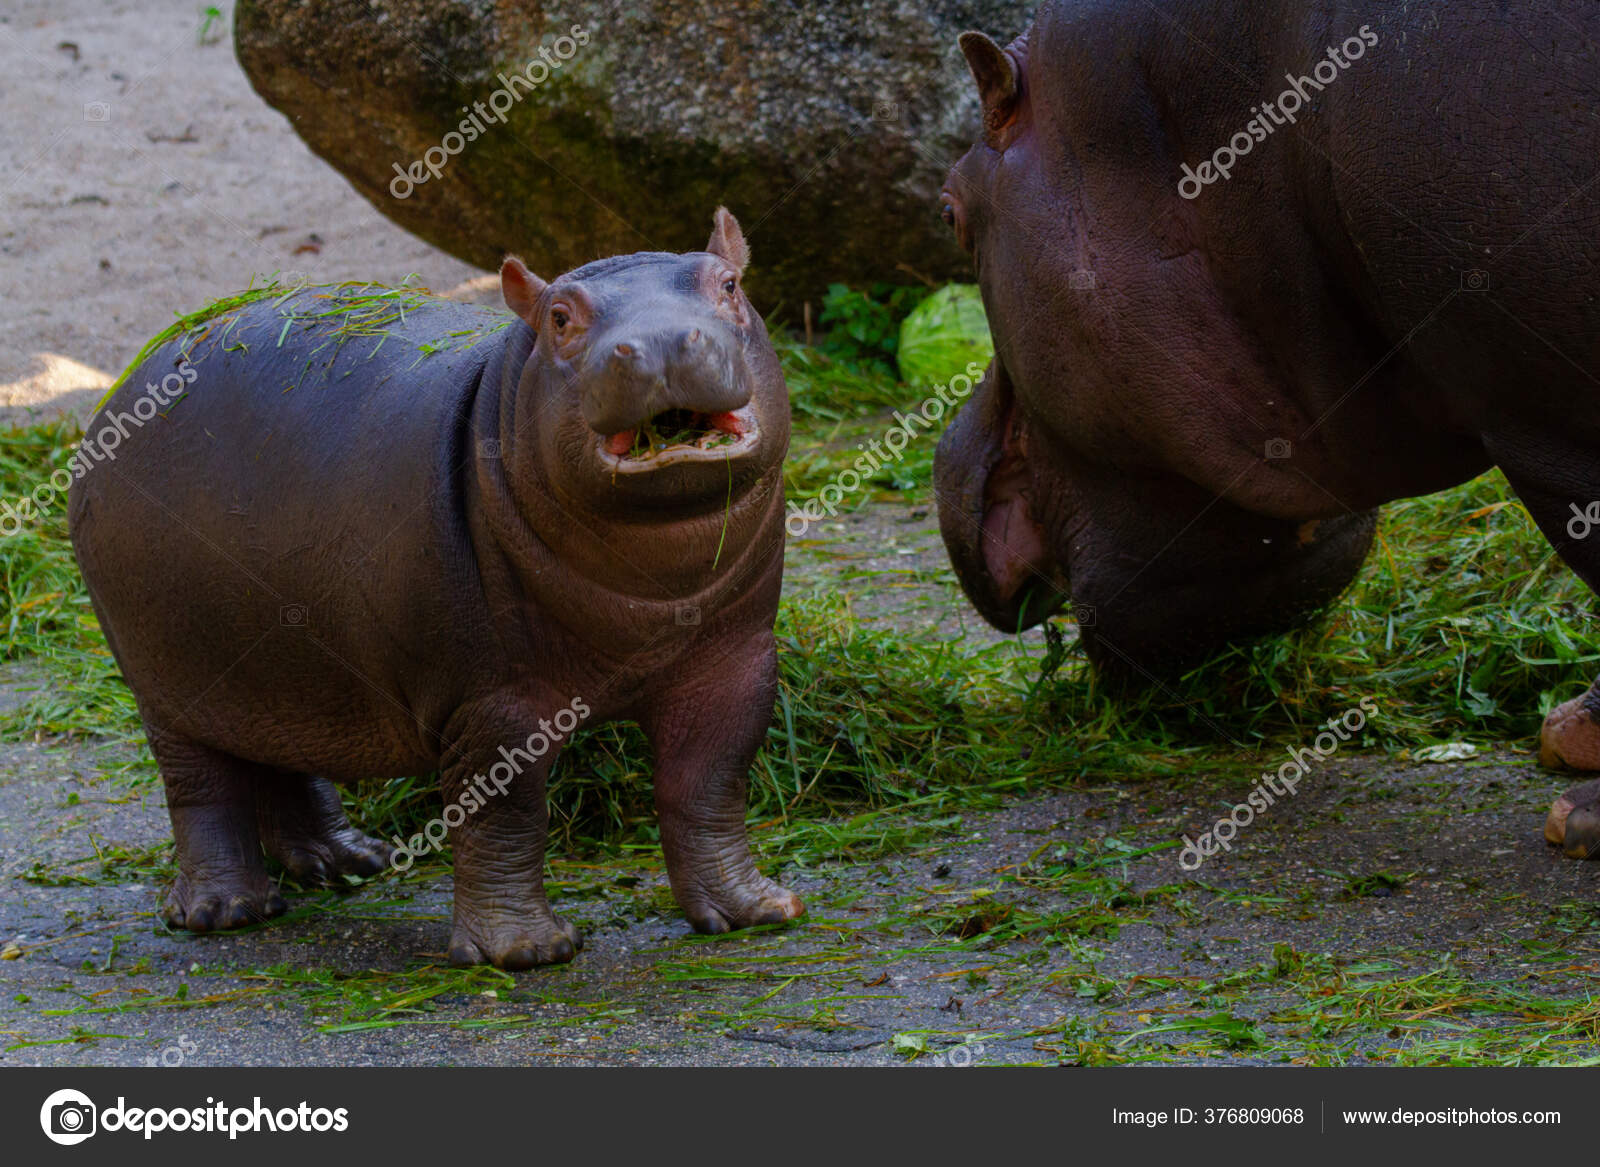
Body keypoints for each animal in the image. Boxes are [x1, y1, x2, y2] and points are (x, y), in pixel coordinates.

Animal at [69, 209, 804, 969]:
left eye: (729, 284)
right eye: (560, 317)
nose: (658, 342)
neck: (653, 590)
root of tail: (121, 390)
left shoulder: (734, 665)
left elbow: (708, 783)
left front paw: (757, 912)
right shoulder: (494, 702)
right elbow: (505, 814)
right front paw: (525, 951)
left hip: (281, 657)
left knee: (282, 754)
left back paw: (350, 863)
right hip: (167, 683)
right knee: (201, 787)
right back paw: (225, 911)